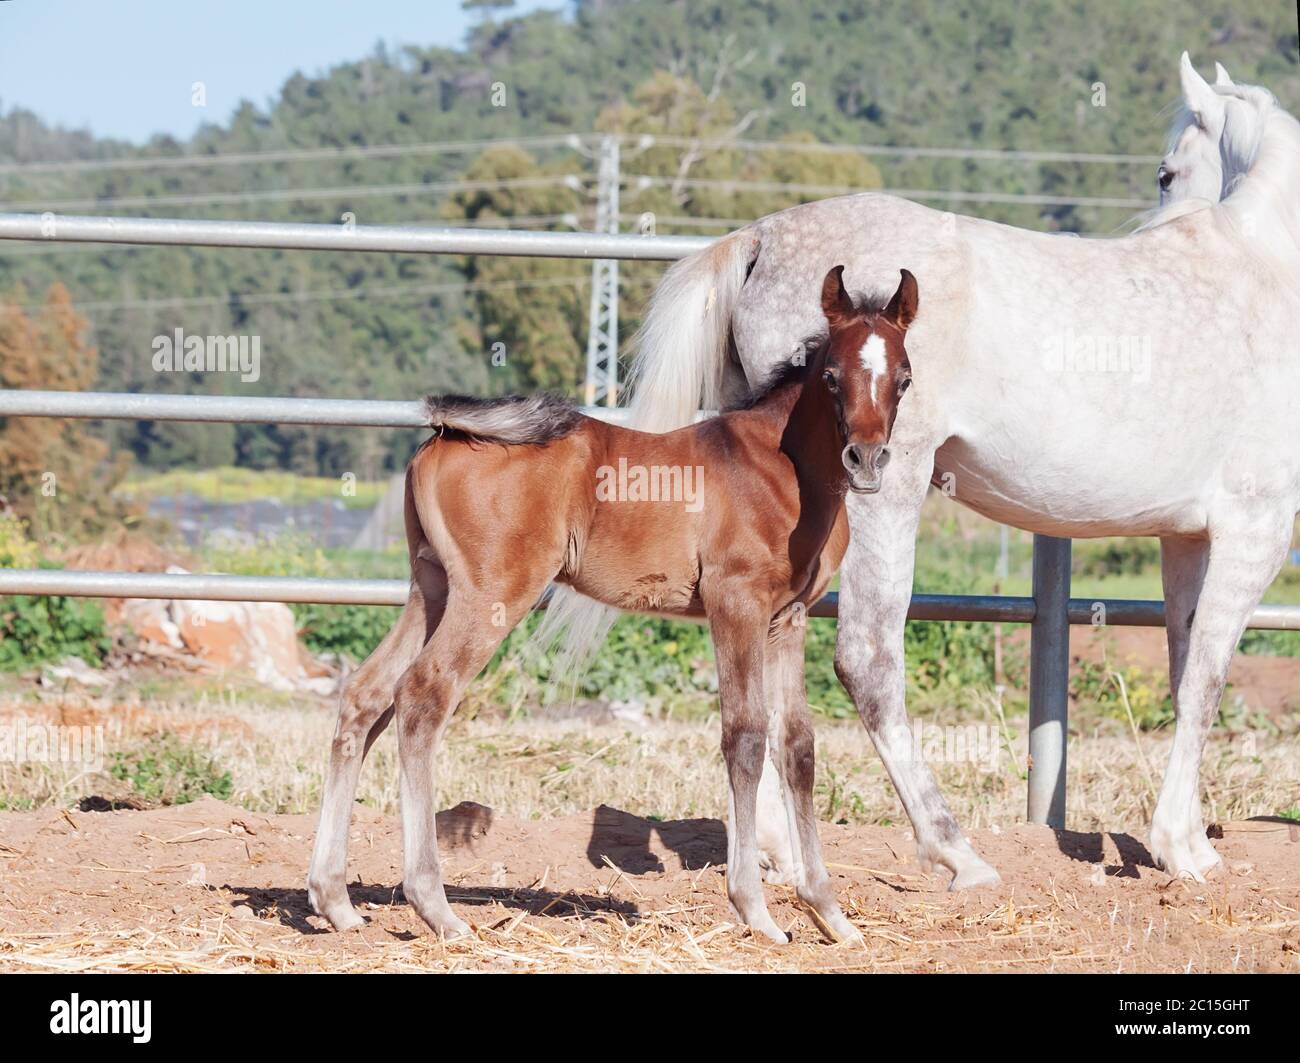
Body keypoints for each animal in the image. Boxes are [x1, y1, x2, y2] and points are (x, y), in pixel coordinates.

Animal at [307, 267, 919, 943]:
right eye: (832, 376)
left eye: (904, 378)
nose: (867, 460)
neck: (780, 468)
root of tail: (448, 432)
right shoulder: (737, 605)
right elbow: (745, 737)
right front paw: (756, 911)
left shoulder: (788, 619)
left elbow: (798, 748)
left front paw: (829, 914)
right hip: (492, 596)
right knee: (422, 696)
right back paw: (435, 908)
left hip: (432, 589)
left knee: (366, 695)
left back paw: (334, 900)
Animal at [551, 54, 1300, 889]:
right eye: (1167, 172)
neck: (1264, 271)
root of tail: (760, 237)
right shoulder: (1256, 529)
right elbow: (1207, 676)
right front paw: (1181, 848)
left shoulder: (1187, 539)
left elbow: (1183, 666)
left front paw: (1191, 838)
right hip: (884, 491)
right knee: (868, 660)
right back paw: (954, 851)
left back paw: (777, 852)